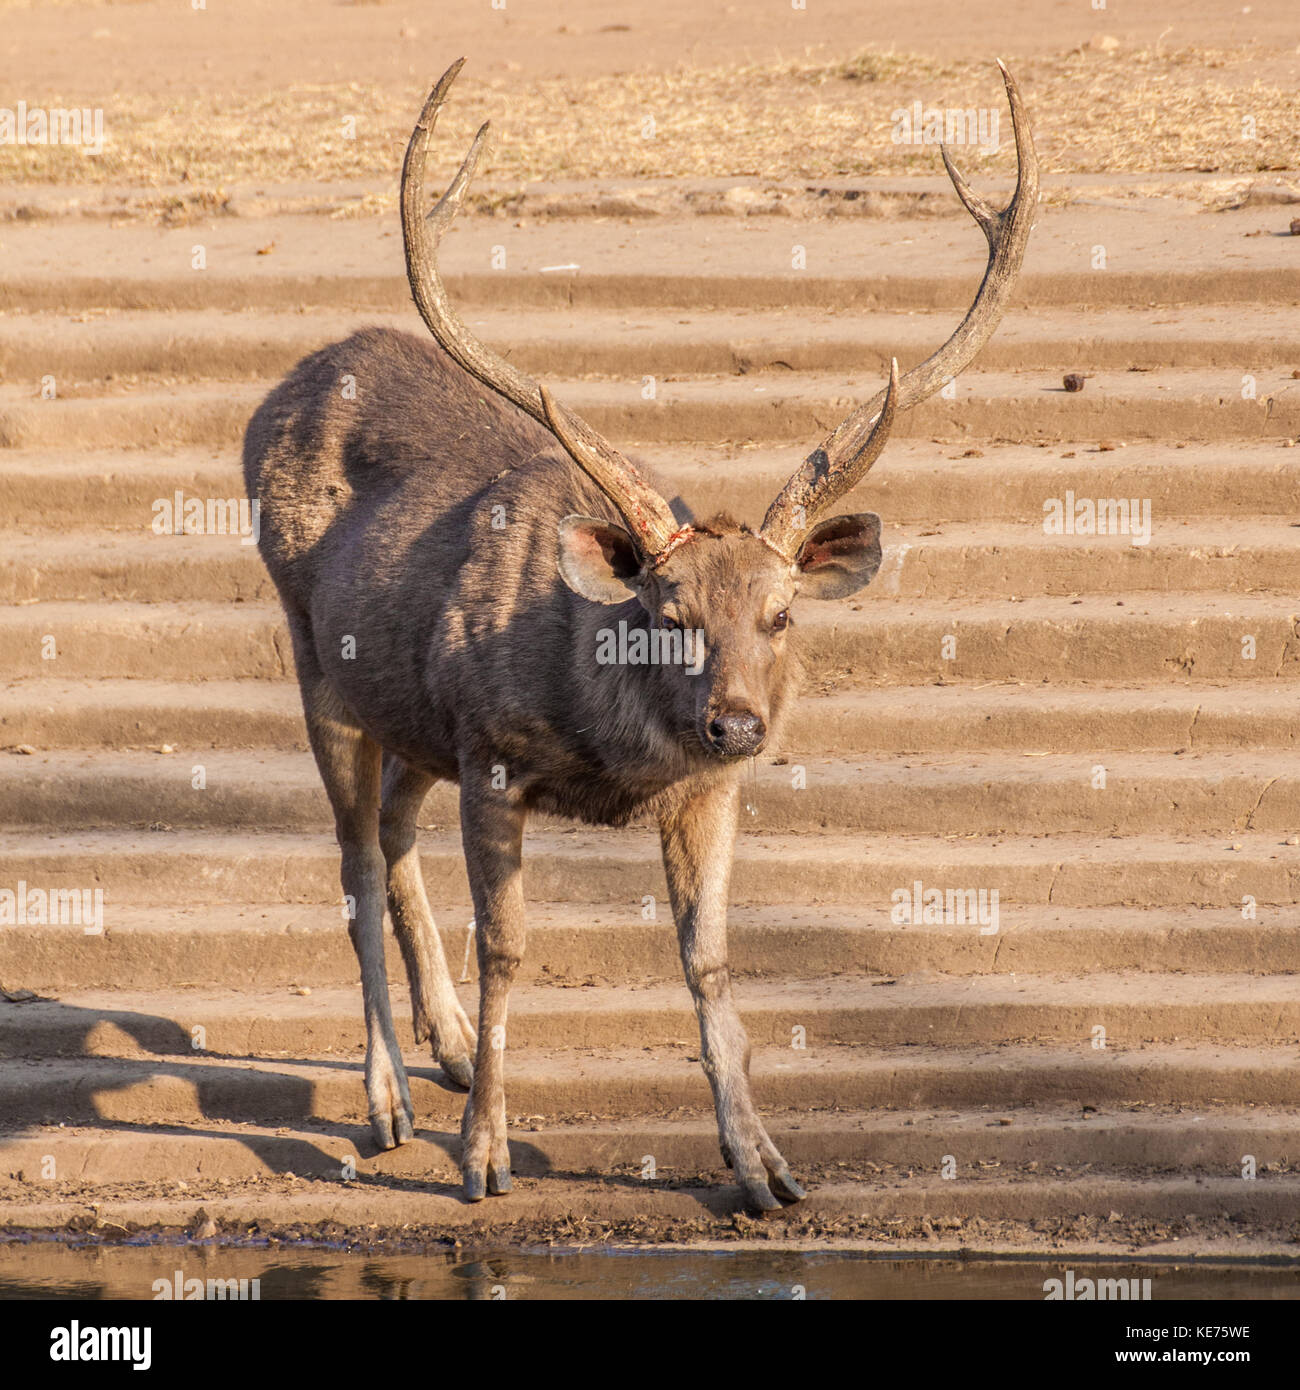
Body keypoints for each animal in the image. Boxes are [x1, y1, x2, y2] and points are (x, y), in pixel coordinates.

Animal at [243, 57, 1037, 1214]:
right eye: (669, 616)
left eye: (780, 612)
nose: (738, 723)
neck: (608, 751)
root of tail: (277, 392)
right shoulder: (490, 750)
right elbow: (508, 947)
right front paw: (485, 1157)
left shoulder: (702, 790)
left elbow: (707, 959)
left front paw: (762, 1165)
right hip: (317, 662)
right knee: (349, 859)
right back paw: (387, 1101)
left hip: (409, 715)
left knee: (388, 830)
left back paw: (445, 1047)